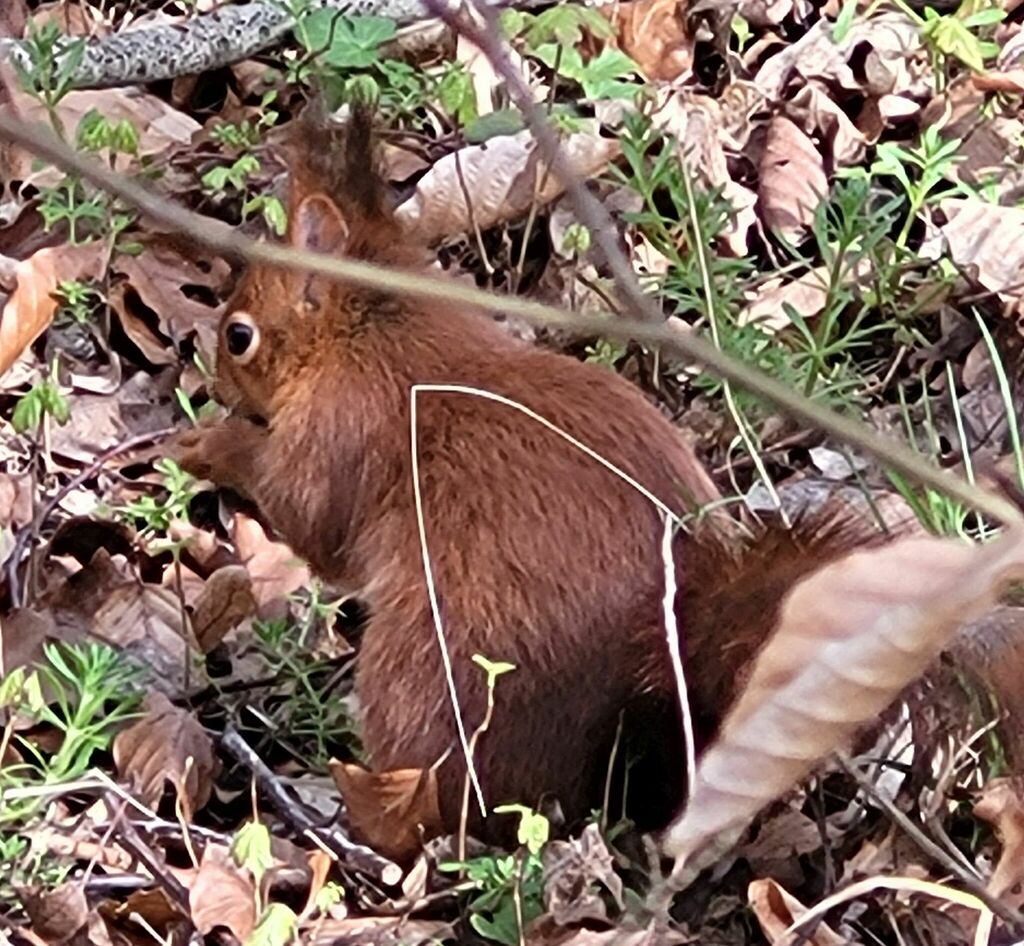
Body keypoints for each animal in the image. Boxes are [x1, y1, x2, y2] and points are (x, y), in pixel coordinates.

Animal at [173, 101, 1011, 849]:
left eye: (239, 335)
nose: (211, 376)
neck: (375, 333)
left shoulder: (340, 435)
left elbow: (311, 523)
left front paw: (209, 444)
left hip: (431, 669)